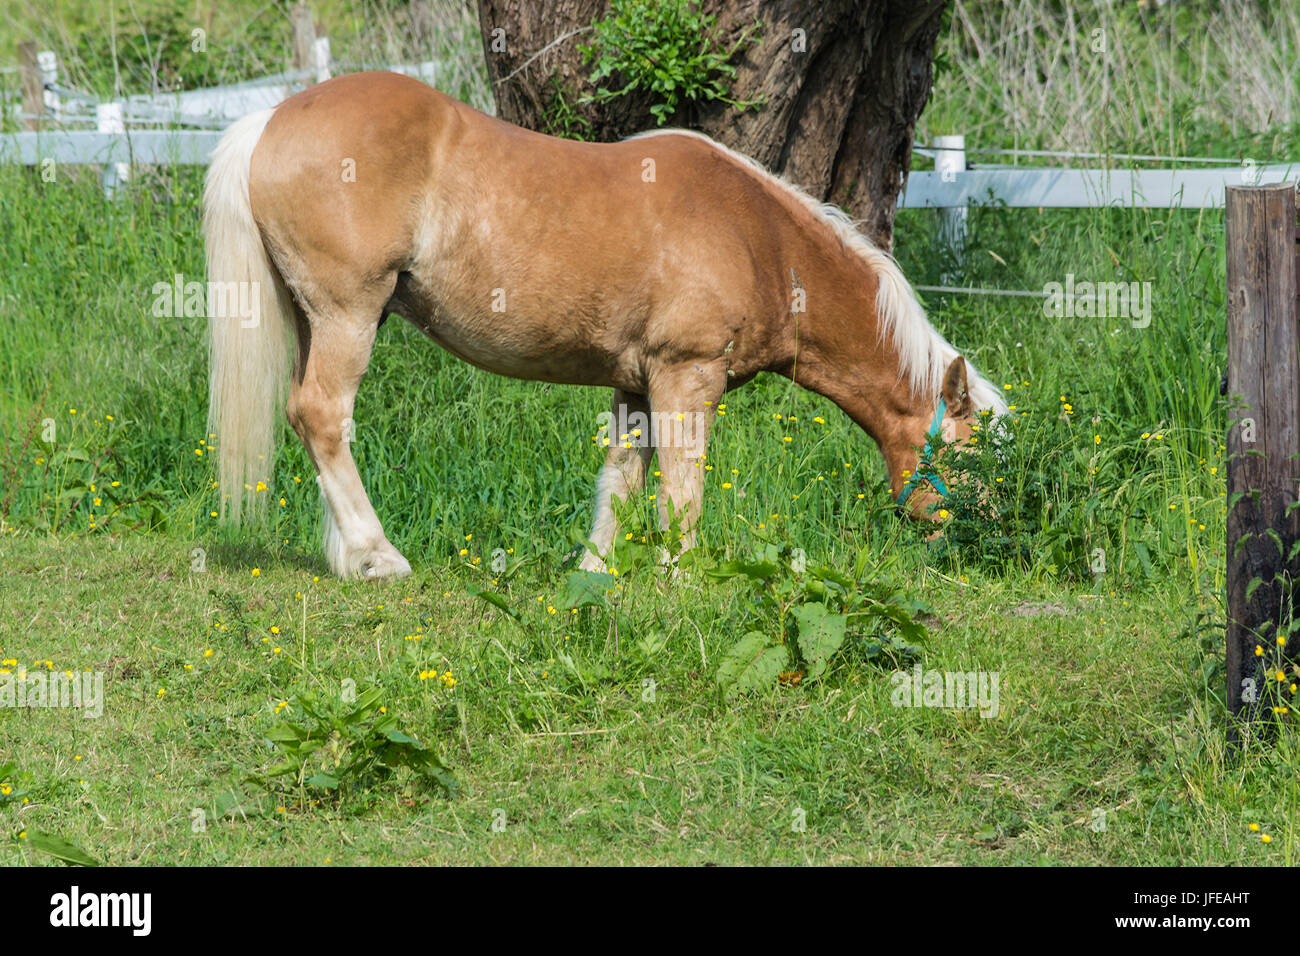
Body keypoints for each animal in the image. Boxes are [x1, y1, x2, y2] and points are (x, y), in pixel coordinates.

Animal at [204, 71, 1006, 580]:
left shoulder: (636, 382)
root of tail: (269, 120)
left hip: (314, 320)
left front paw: (595, 568)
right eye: (972, 459)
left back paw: (347, 556)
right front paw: (680, 574)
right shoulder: (686, 376)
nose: (985, 541)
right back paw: (378, 556)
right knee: (323, 415)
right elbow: (681, 486)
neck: (761, 239)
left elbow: (622, 476)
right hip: (349, 316)